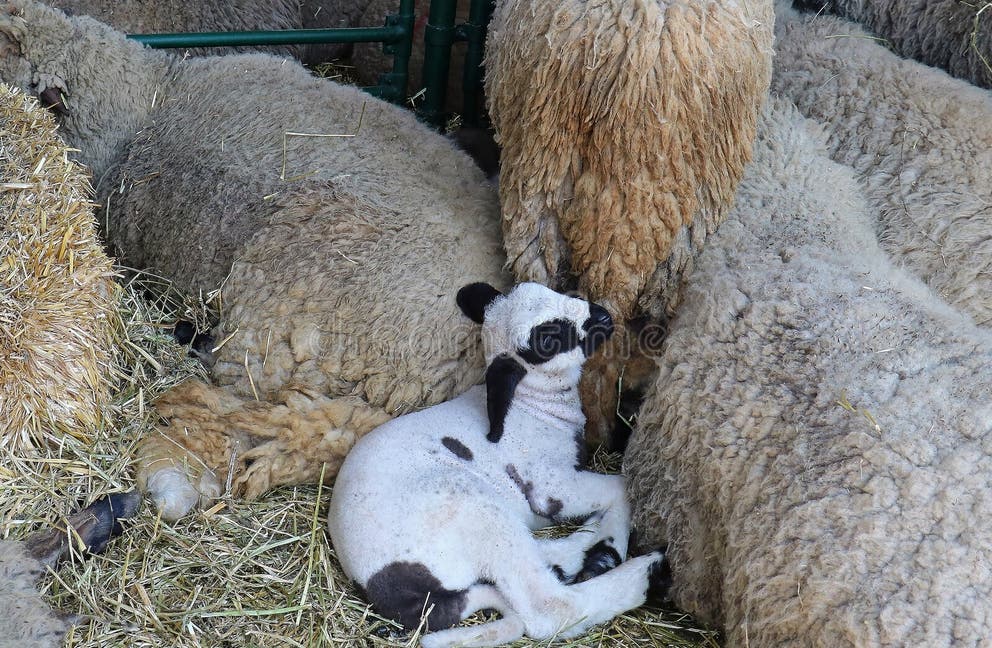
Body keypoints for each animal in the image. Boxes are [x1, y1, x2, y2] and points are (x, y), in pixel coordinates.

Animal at [328, 281, 669, 648]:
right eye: (547, 339)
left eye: (565, 294)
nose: (604, 317)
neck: (533, 405)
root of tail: (386, 589)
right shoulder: (549, 484)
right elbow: (620, 485)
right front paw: (612, 545)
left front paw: (602, 542)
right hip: (473, 511)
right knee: (547, 605)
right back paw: (641, 571)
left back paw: (580, 555)